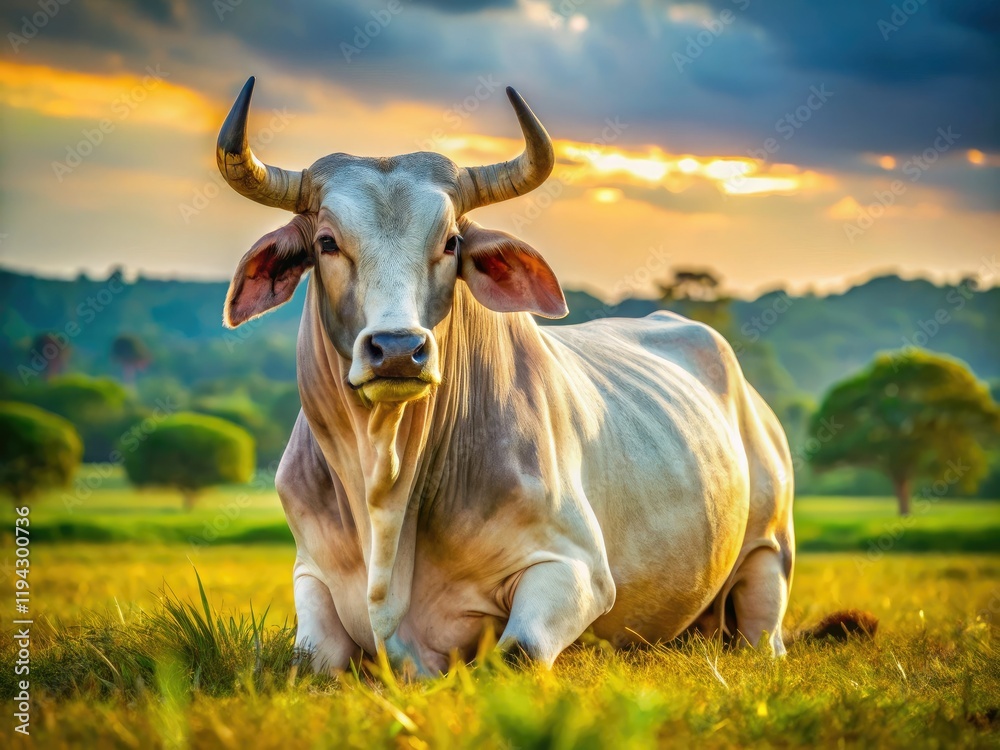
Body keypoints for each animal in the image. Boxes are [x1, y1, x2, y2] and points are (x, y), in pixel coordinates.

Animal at [217, 77, 797, 675]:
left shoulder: (577, 568)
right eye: (327, 243)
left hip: (770, 554)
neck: (387, 492)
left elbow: (515, 653)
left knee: (761, 630)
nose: (398, 349)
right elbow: (306, 663)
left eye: (450, 241)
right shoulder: (310, 575)